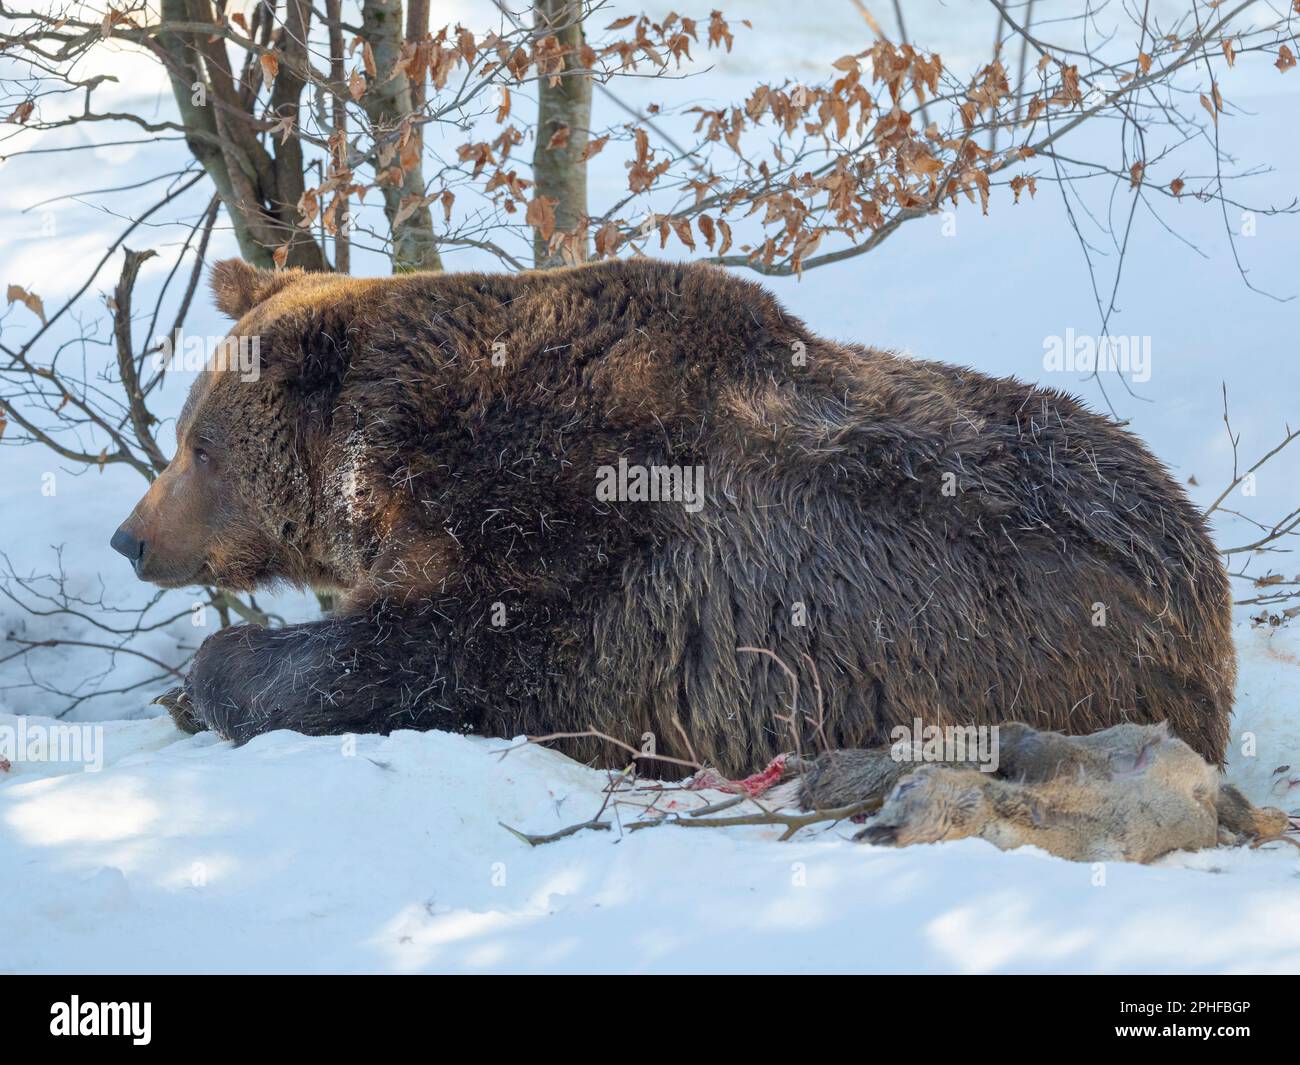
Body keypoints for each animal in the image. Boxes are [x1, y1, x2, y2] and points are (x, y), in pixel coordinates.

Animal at [110, 257, 1236, 777]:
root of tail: (1202, 564)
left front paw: (208, 677)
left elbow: (431, 653)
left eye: (197, 443)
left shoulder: (576, 544)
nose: (130, 537)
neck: (389, 458)